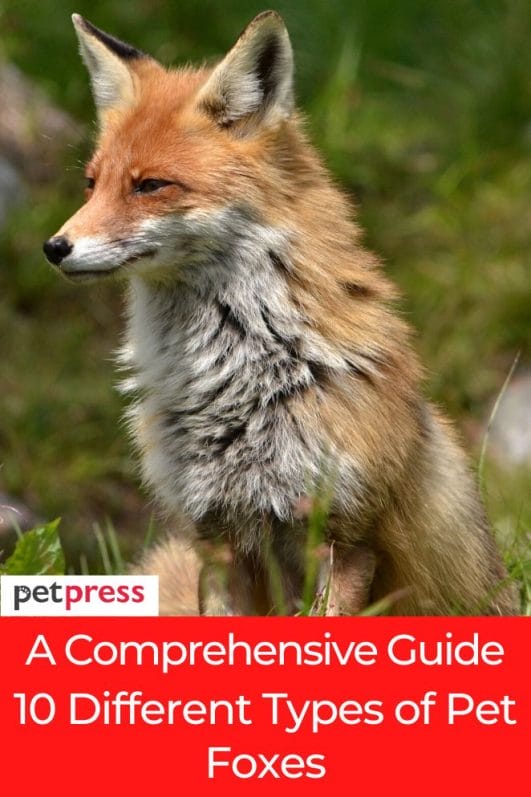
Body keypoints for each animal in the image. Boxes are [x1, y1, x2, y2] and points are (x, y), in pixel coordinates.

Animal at [43, 11, 518, 615]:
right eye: (91, 184)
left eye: (150, 185)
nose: (54, 247)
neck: (239, 381)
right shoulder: (215, 539)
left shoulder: (344, 538)